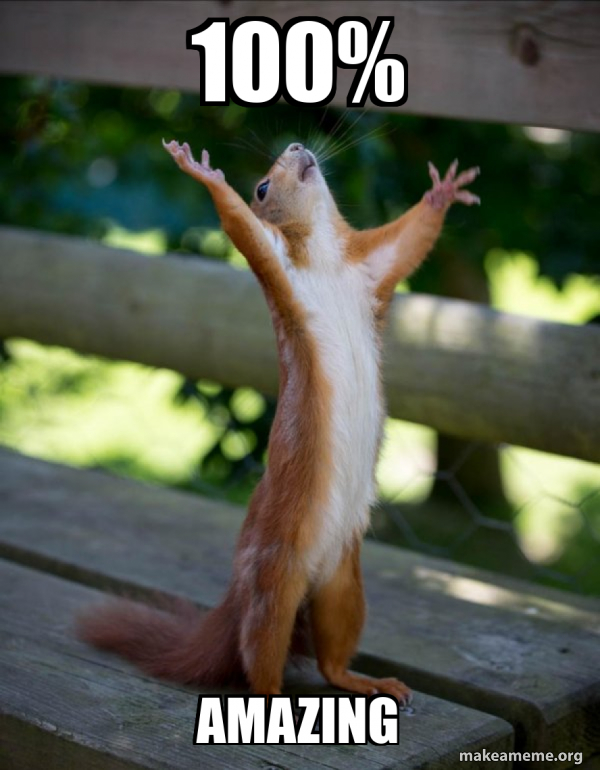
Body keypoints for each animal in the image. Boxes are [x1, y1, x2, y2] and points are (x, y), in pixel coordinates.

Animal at [77, 138, 480, 704]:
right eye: (262, 187)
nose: (296, 146)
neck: (327, 259)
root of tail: (238, 594)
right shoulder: (277, 264)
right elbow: (240, 226)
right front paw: (203, 173)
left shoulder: (372, 267)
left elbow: (410, 239)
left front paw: (442, 192)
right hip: (273, 583)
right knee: (258, 658)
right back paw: (275, 696)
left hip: (344, 586)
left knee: (332, 657)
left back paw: (366, 680)